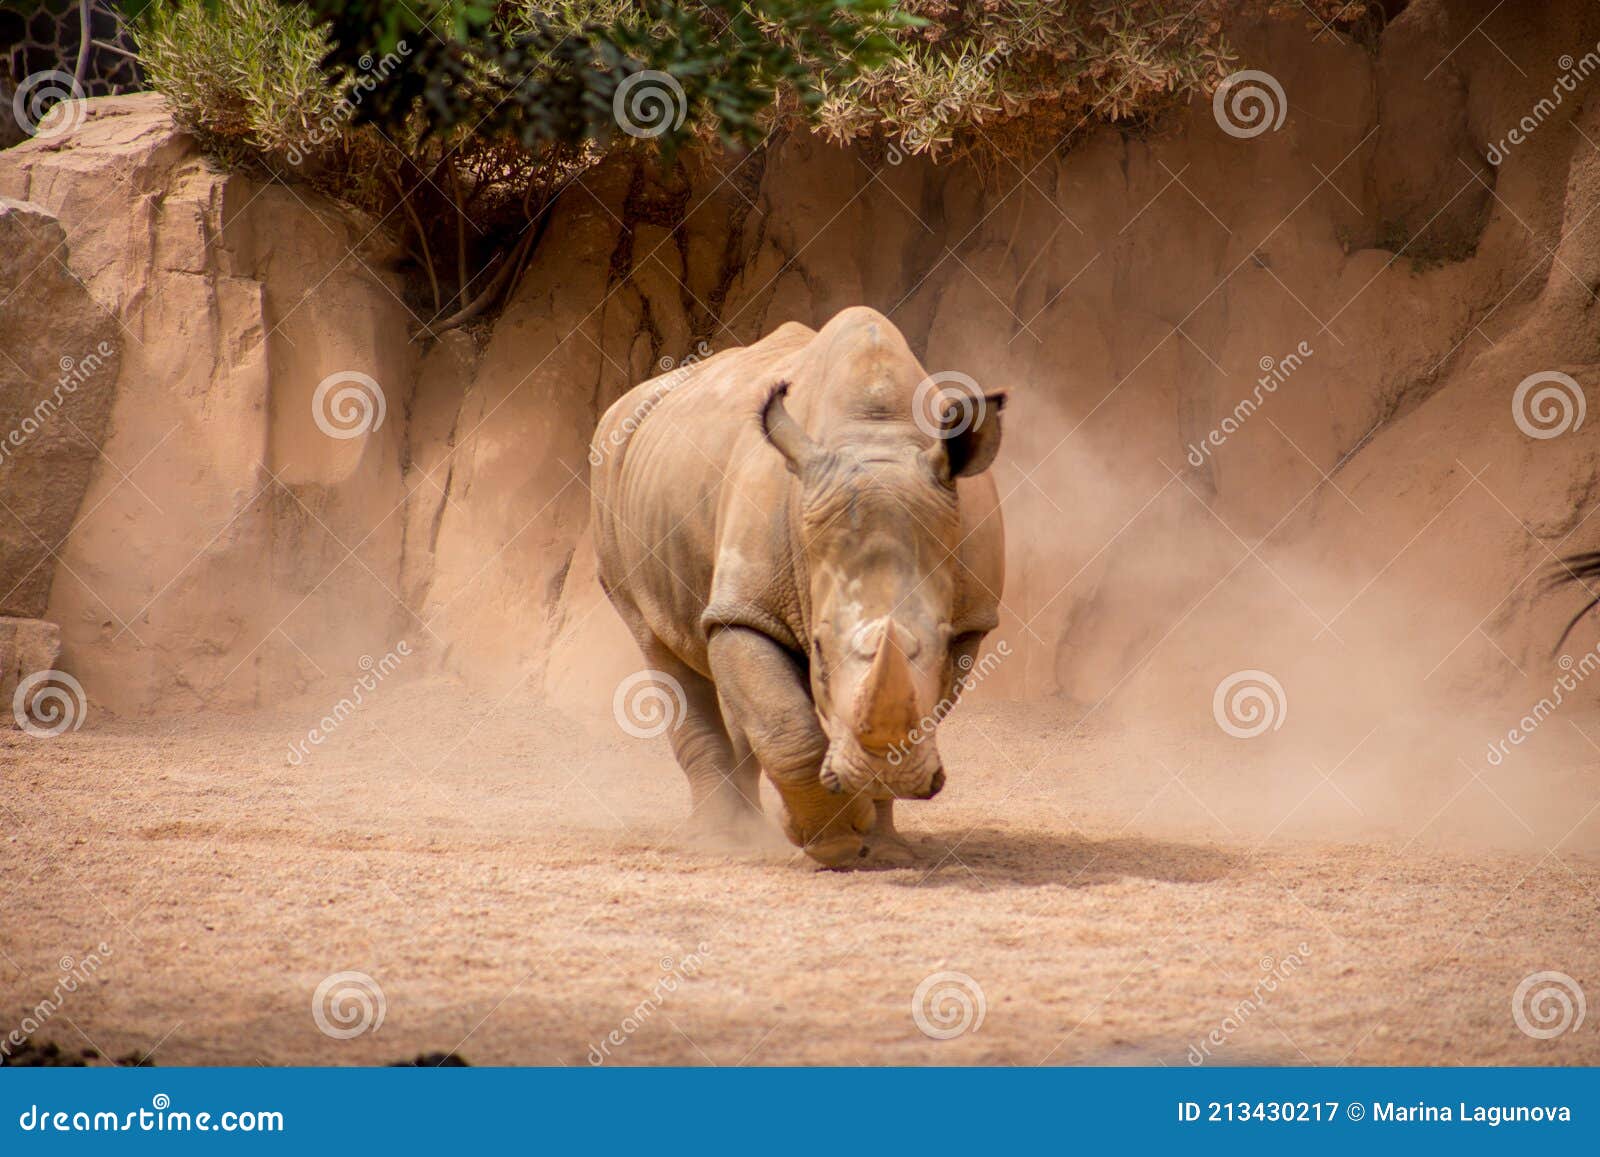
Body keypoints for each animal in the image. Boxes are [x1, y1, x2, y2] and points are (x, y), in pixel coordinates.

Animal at [589, 307, 1005, 867]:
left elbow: (916, 705)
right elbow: (786, 726)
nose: (884, 773)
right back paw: (721, 839)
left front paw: (880, 841)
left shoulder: (970, 623)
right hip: (610, 477)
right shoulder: (747, 608)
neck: (876, 436)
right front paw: (833, 838)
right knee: (660, 647)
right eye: (819, 651)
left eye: (942, 646)